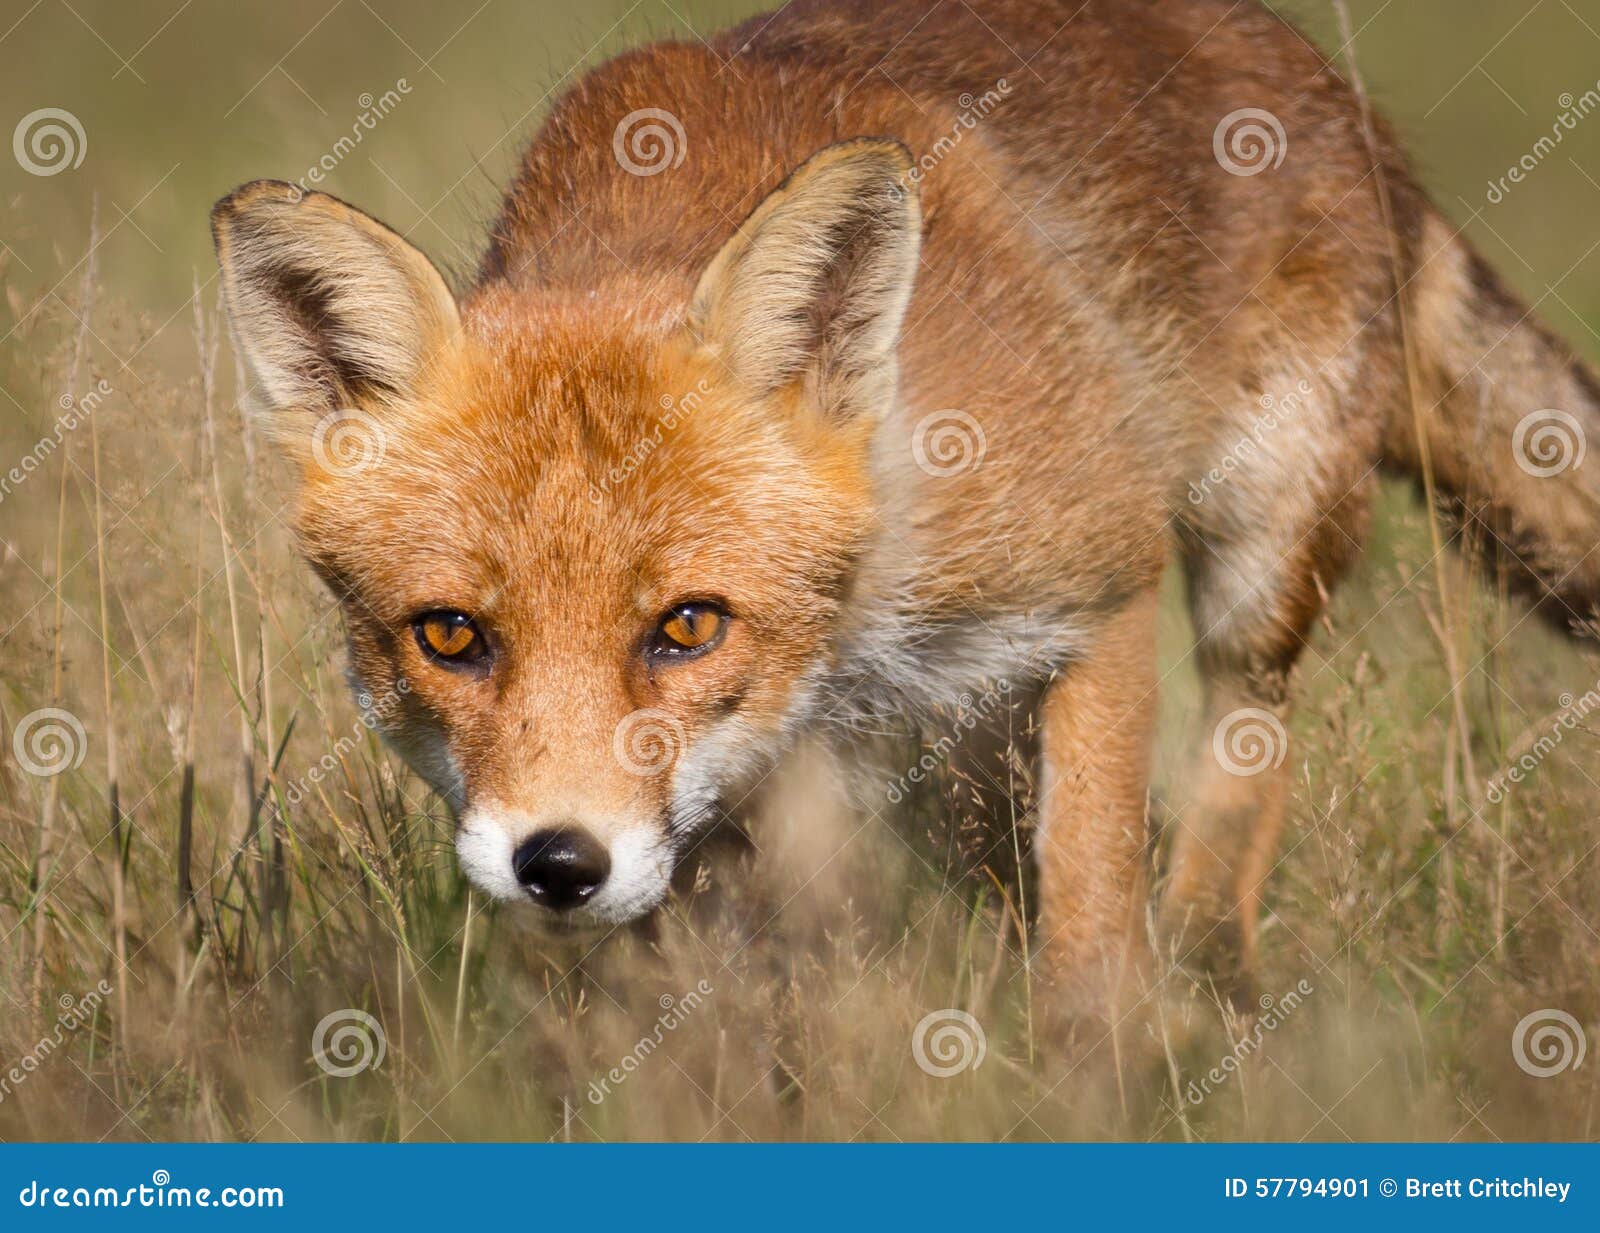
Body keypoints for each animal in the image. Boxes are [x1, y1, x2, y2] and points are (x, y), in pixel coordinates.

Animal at [211, 0, 1600, 1014]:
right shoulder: (751, 802)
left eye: (687, 626)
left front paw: (1098, 1084)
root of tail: (1321, 76)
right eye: (450, 636)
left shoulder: (1099, 589)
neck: (852, 635)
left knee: (1243, 757)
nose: (559, 865)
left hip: (1256, 564)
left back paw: (1213, 972)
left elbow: (1091, 910)